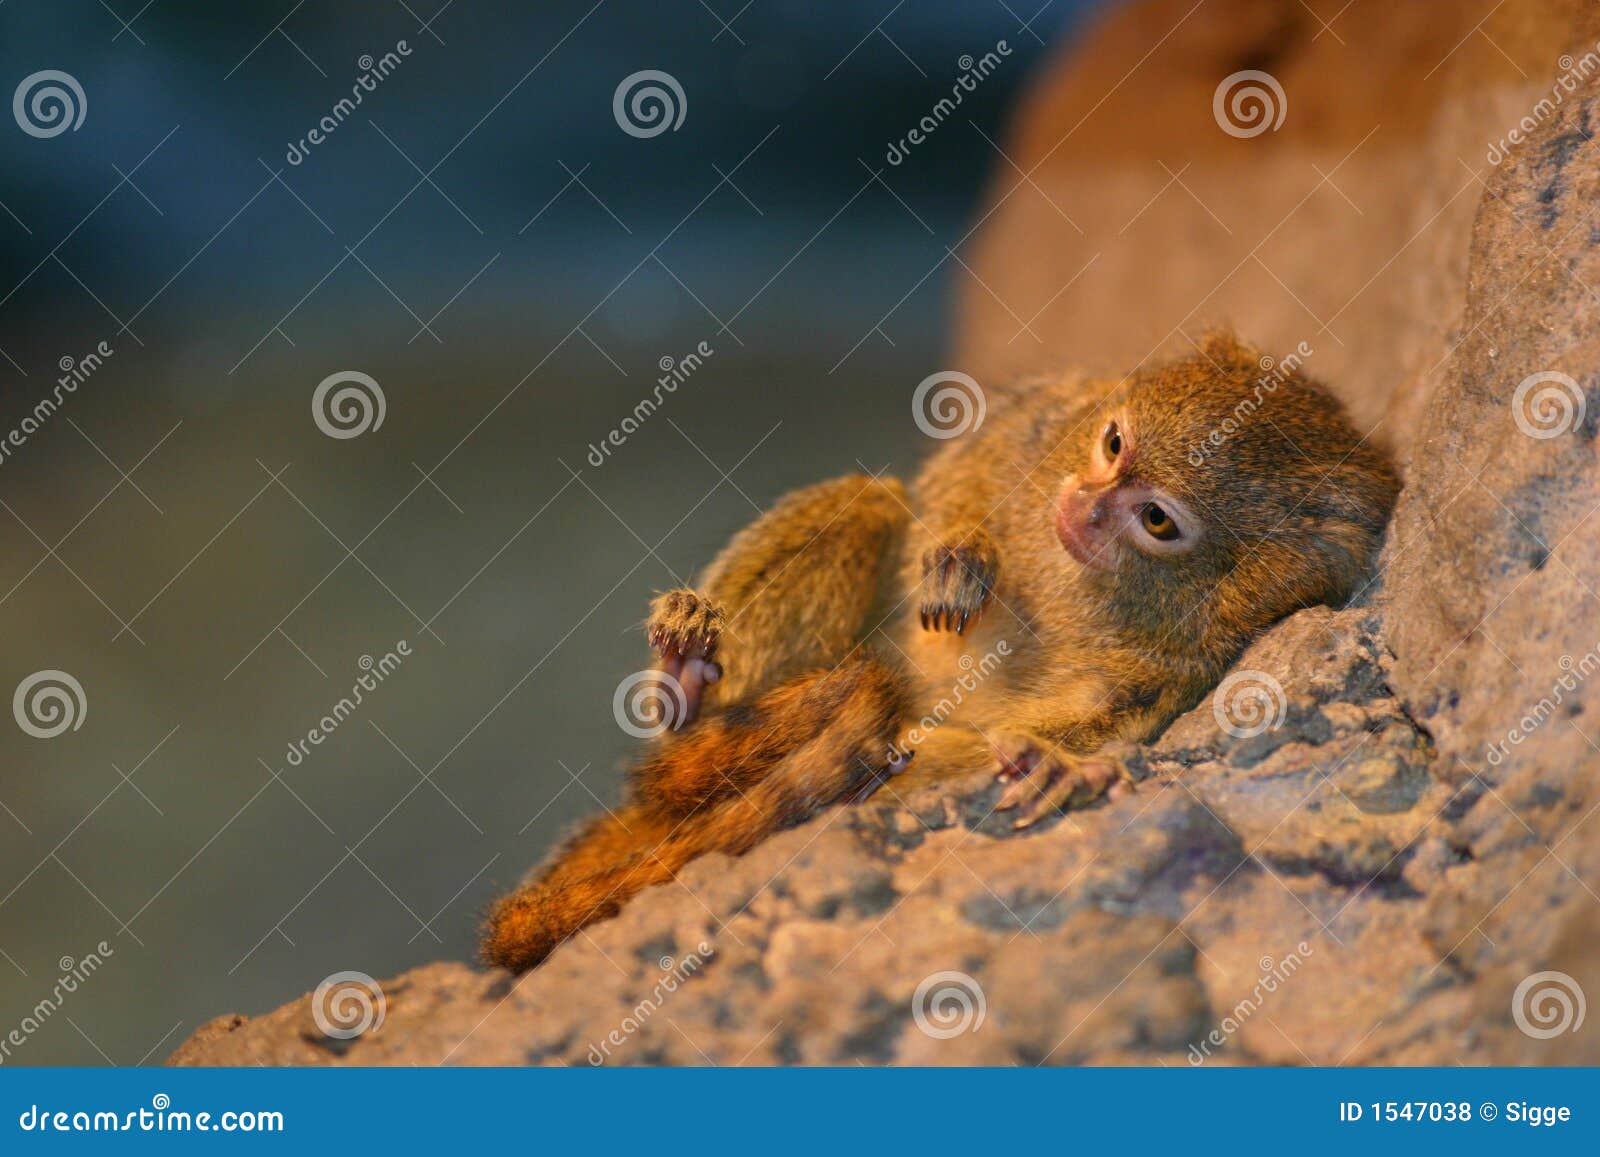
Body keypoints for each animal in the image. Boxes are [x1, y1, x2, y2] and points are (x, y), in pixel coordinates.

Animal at [481, 331, 1400, 972]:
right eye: (1112, 444)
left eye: (1157, 519)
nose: (1083, 504)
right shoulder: (1043, 428)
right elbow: (962, 480)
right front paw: (961, 553)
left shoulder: (1184, 668)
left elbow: (1009, 738)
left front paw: (1061, 767)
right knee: (869, 503)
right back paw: (691, 683)